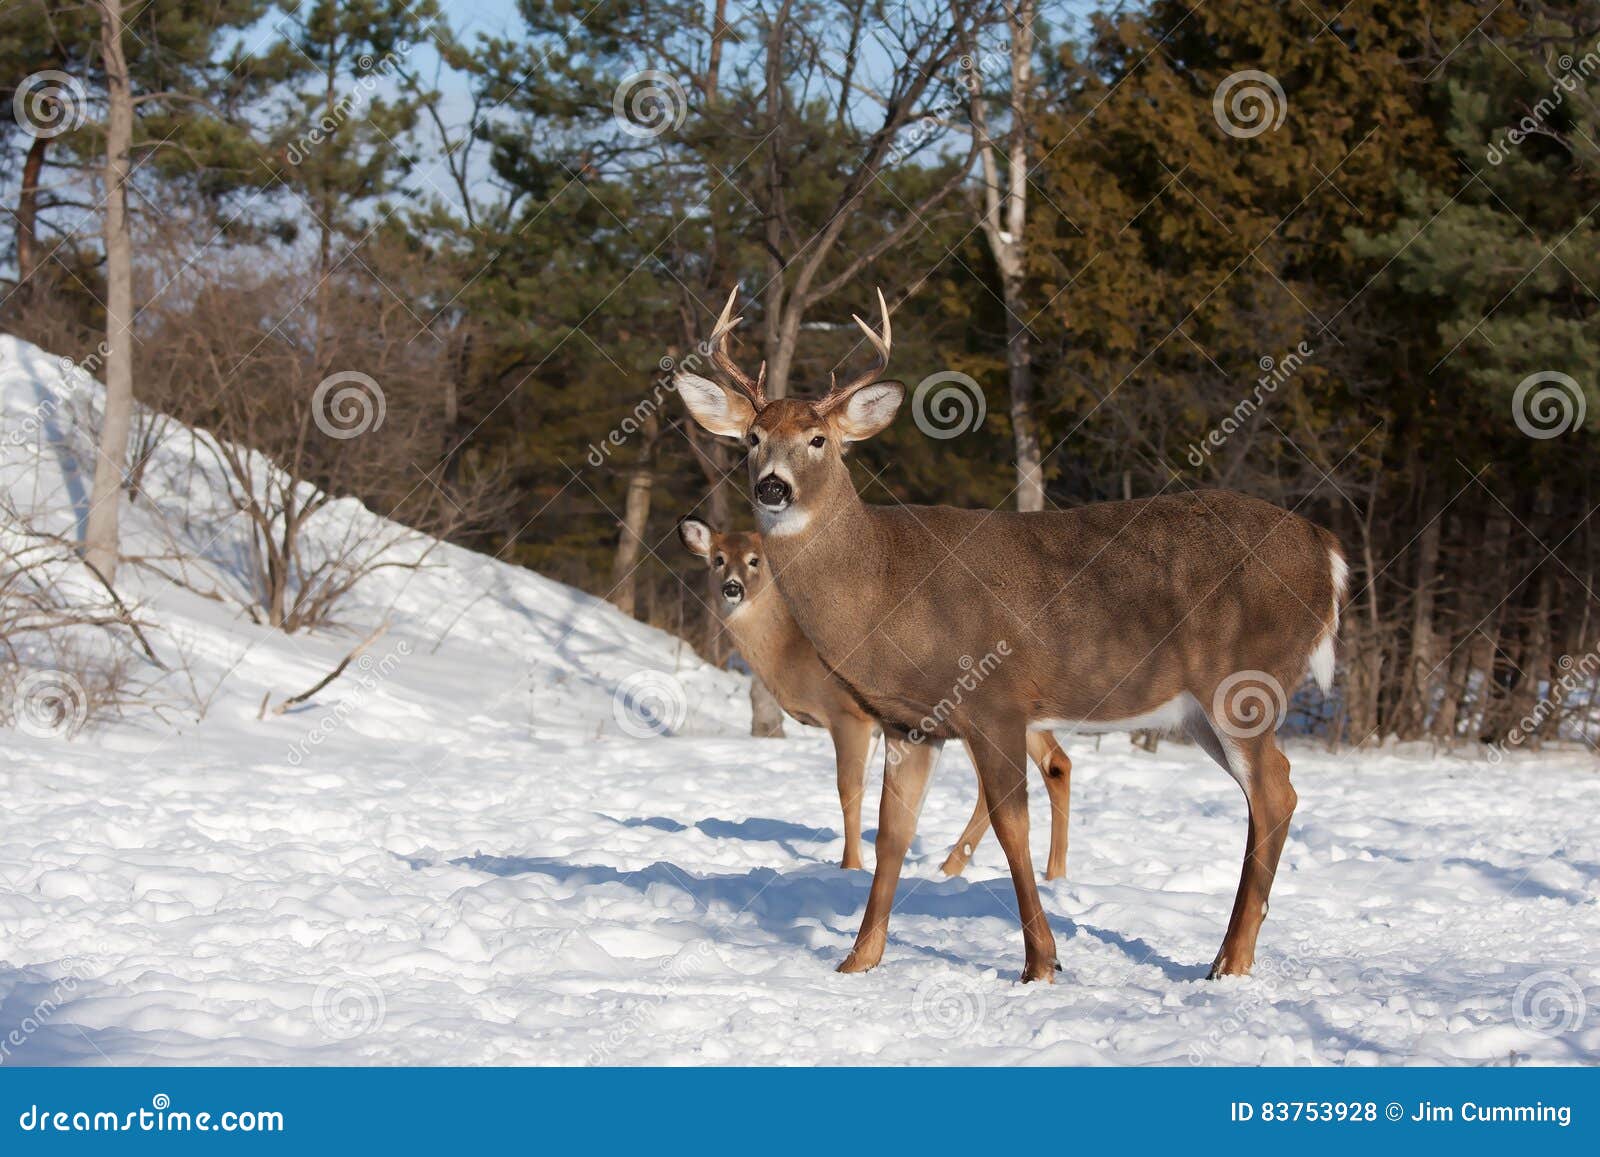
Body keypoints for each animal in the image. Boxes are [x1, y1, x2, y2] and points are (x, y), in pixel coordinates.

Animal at [677, 517, 1073, 878]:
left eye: (755, 560)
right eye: (717, 558)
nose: (732, 588)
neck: (791, 651)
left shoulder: (849, 715)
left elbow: (849, 788)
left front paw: (850, 866)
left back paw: (954, 867)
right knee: (1056, 762)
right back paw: (1049, 872)